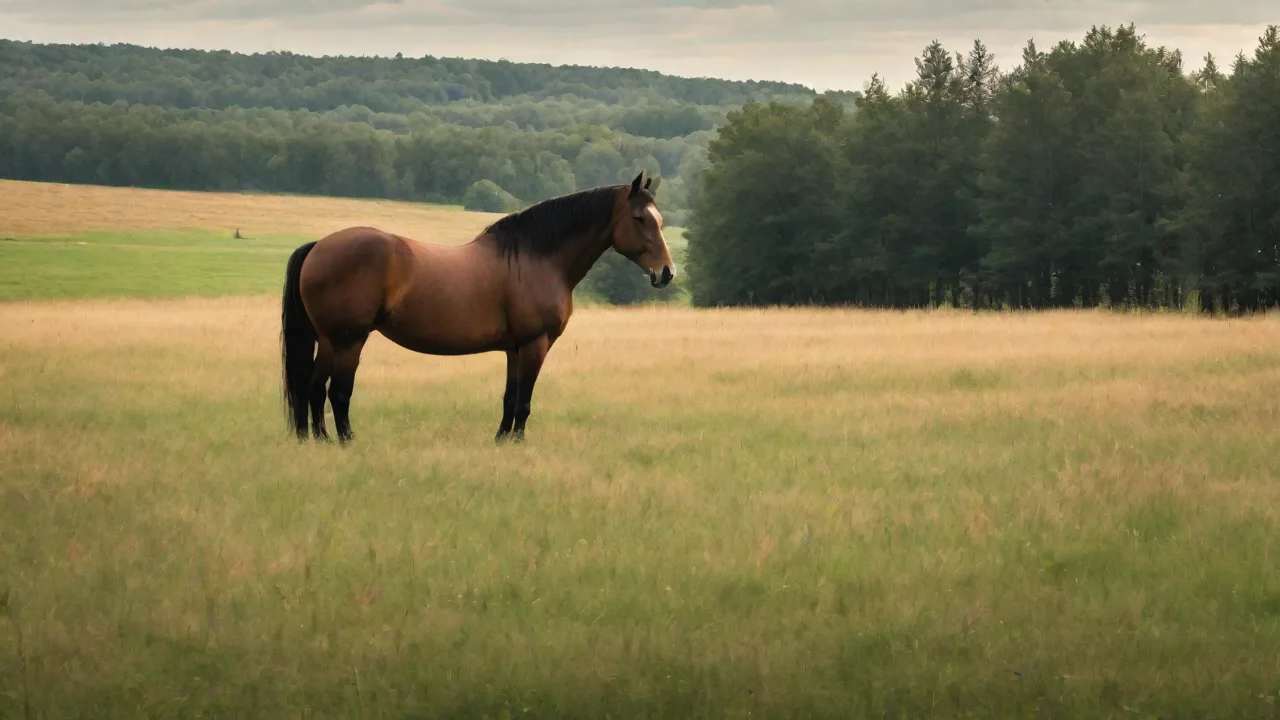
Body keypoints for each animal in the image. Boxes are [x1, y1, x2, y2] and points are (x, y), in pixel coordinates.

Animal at [279, 170, 675, 445]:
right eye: (640, 218)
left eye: (659, 219)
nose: (667, 273)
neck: (537, 258)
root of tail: (319, 246)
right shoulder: (536, 344)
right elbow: (524, 401)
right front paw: (518, 443)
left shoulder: (515, 349)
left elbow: (510, 398)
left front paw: (501, 441)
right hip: (349, 341)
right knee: (337, 392)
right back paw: (347, 442)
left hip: (328, 341)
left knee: (312, 388)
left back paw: (317, 440)